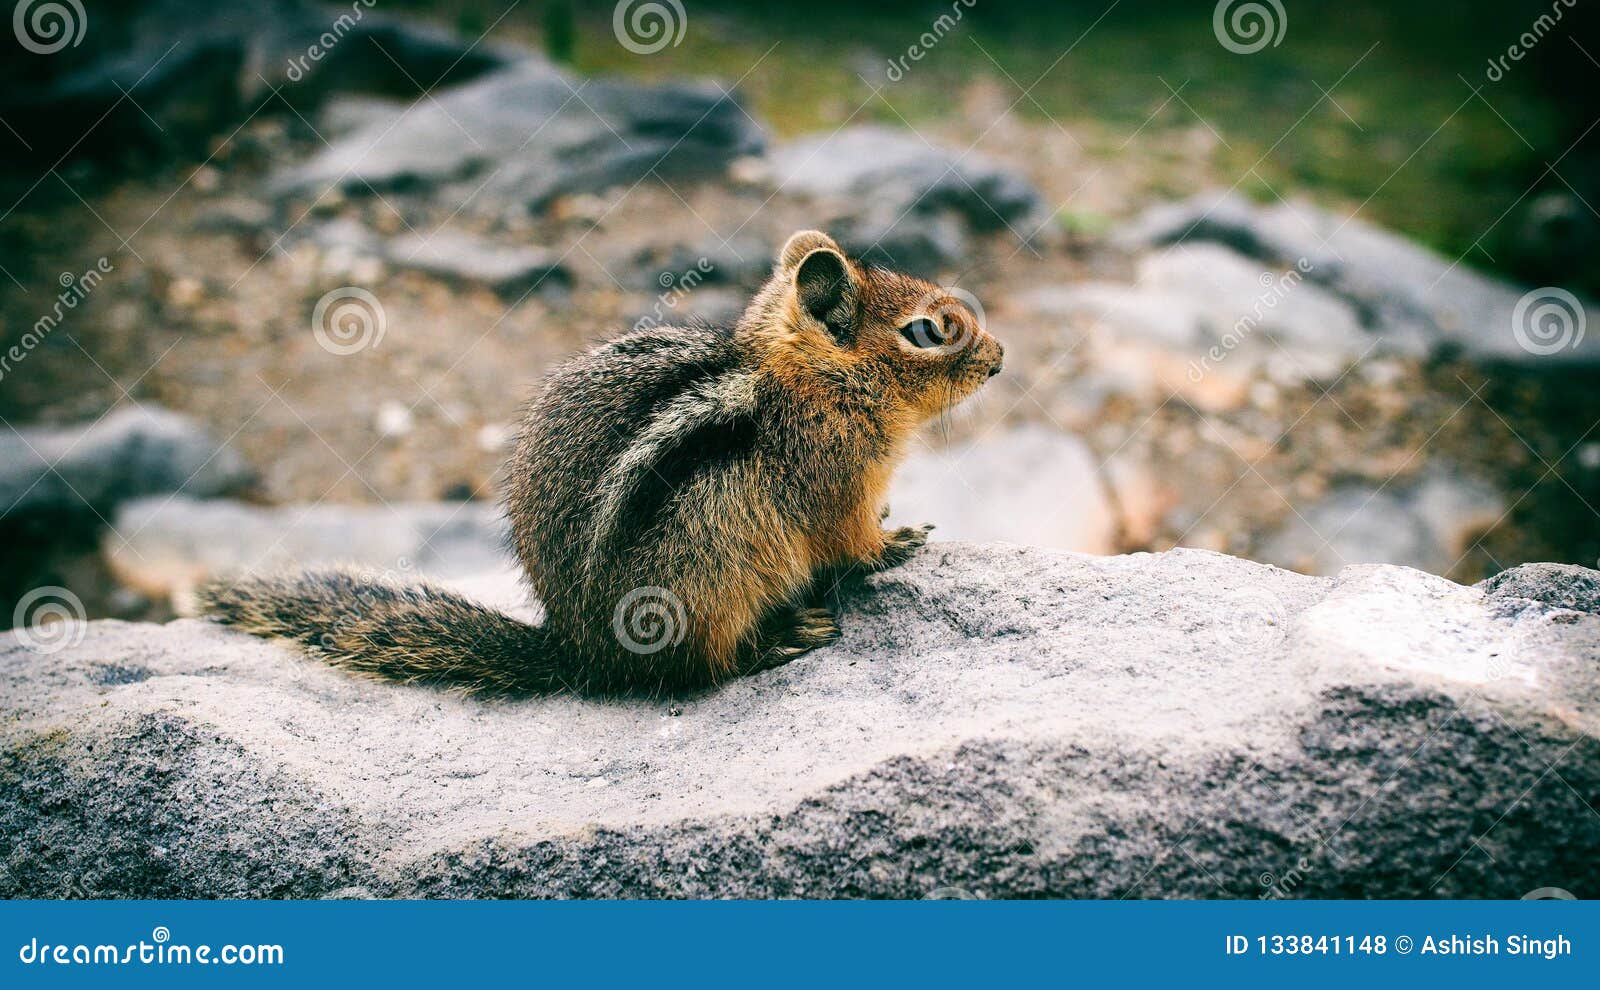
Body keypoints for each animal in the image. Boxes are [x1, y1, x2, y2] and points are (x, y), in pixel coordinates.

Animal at [197, 230, 1004, 696]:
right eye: (928, 331)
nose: (1000, 360)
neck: (810, 380)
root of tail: (581, 652)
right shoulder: (833, 480)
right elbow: (849, 541)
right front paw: (896, 542)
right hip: (706, 577)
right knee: (706, 669)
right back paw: (781, 639)